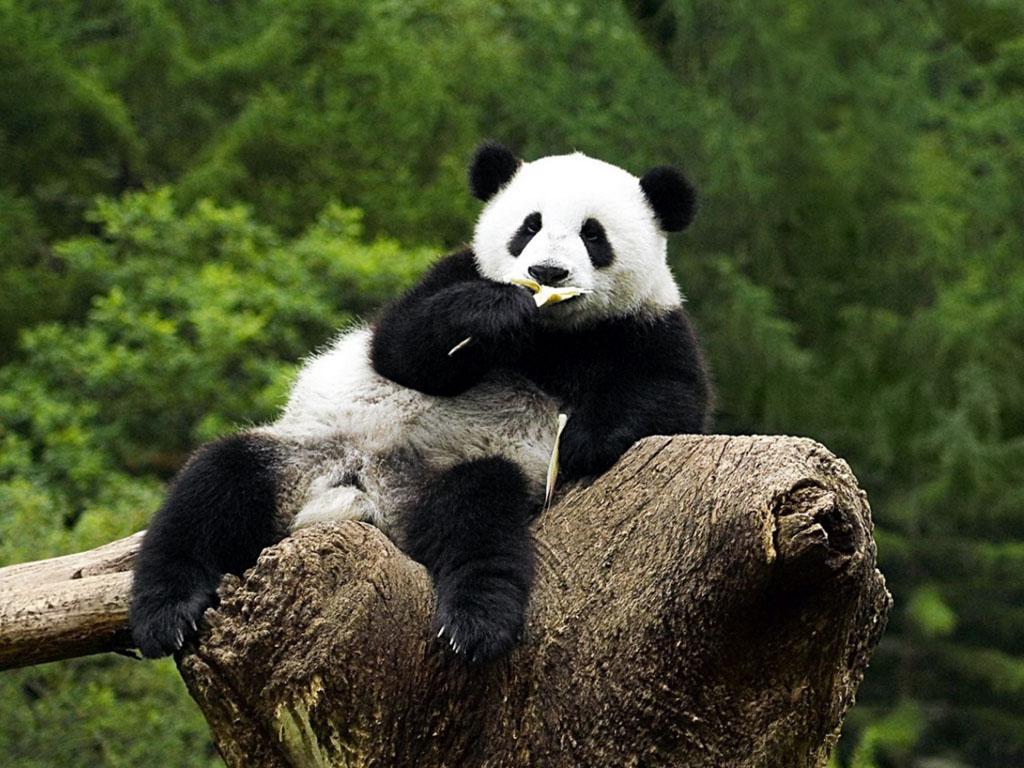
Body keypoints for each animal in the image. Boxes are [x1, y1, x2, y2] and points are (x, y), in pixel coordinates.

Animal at [130, 141, 712, 664]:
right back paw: (167, 612)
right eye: (529, 226)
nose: (547, 273)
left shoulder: (647, 324)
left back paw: (475, 623)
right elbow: (400, 346)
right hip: (302, 453)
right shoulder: (453, 273)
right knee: (213, 486)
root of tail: (365, 492)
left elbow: (672, 398)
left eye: (593, 234)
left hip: (454, 472)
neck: (551, 333)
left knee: (477, 518)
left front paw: (582, 440)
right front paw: (493, 313)